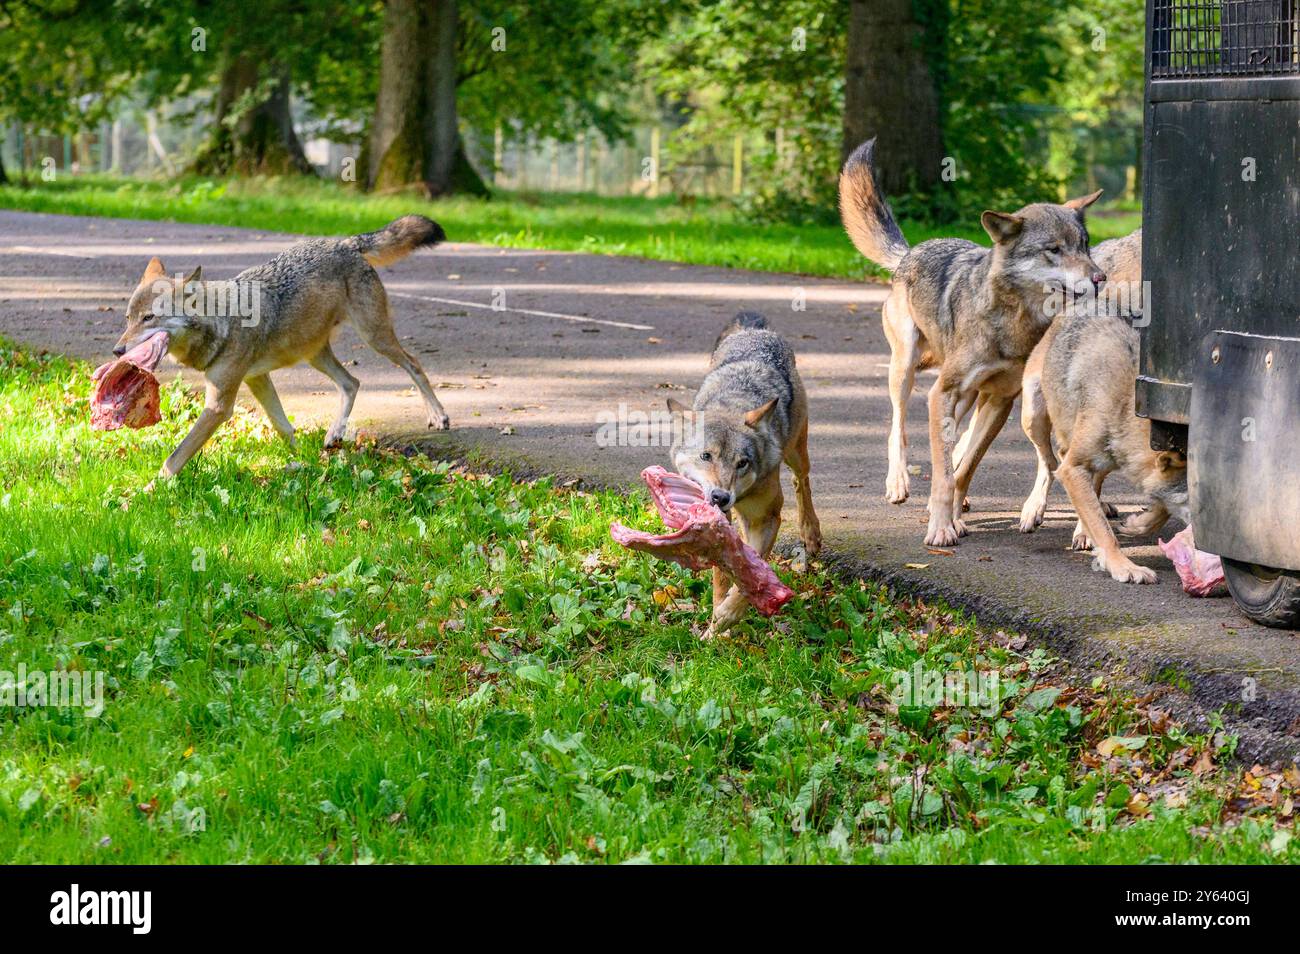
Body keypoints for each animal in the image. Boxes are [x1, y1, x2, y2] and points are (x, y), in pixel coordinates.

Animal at [111, 215, 451, 477]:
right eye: (128, 319)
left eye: (149, 318)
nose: (117, 351)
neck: (223, 321)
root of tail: (344, 244)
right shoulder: (256, 379)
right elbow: (284, 427)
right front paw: (305, 463)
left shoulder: (219, 406)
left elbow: (175, 456)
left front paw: (150, 491)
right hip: (315, 354)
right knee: (352, 382)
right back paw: (334, 434)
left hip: (374, 337)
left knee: (413, 363)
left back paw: (438, 417)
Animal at [667, 312, 821, 636]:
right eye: (706, 456)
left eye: (743, 463)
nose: (721, 497)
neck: (733, 402)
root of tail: (755, 331)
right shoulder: (718, 522)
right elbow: (723, 576)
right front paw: (718, 622)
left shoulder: (766, 519)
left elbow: (750, 574)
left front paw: (728, 615)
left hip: (796, 454)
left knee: (801, 482)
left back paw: (811, 533)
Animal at [839, 137, 1105, 547]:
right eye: (1054, 249)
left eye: (1086, 245)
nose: (1100, 277)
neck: (1014, 322)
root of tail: (911, 251)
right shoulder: (944, 393)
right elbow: (943, 474)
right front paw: (940, 527)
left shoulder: (1000, 401)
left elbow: (964, 467)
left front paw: (952, 515)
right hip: (909, 372)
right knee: (899, 426)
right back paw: (898, 483)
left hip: (970, 398)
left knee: (959, 441)